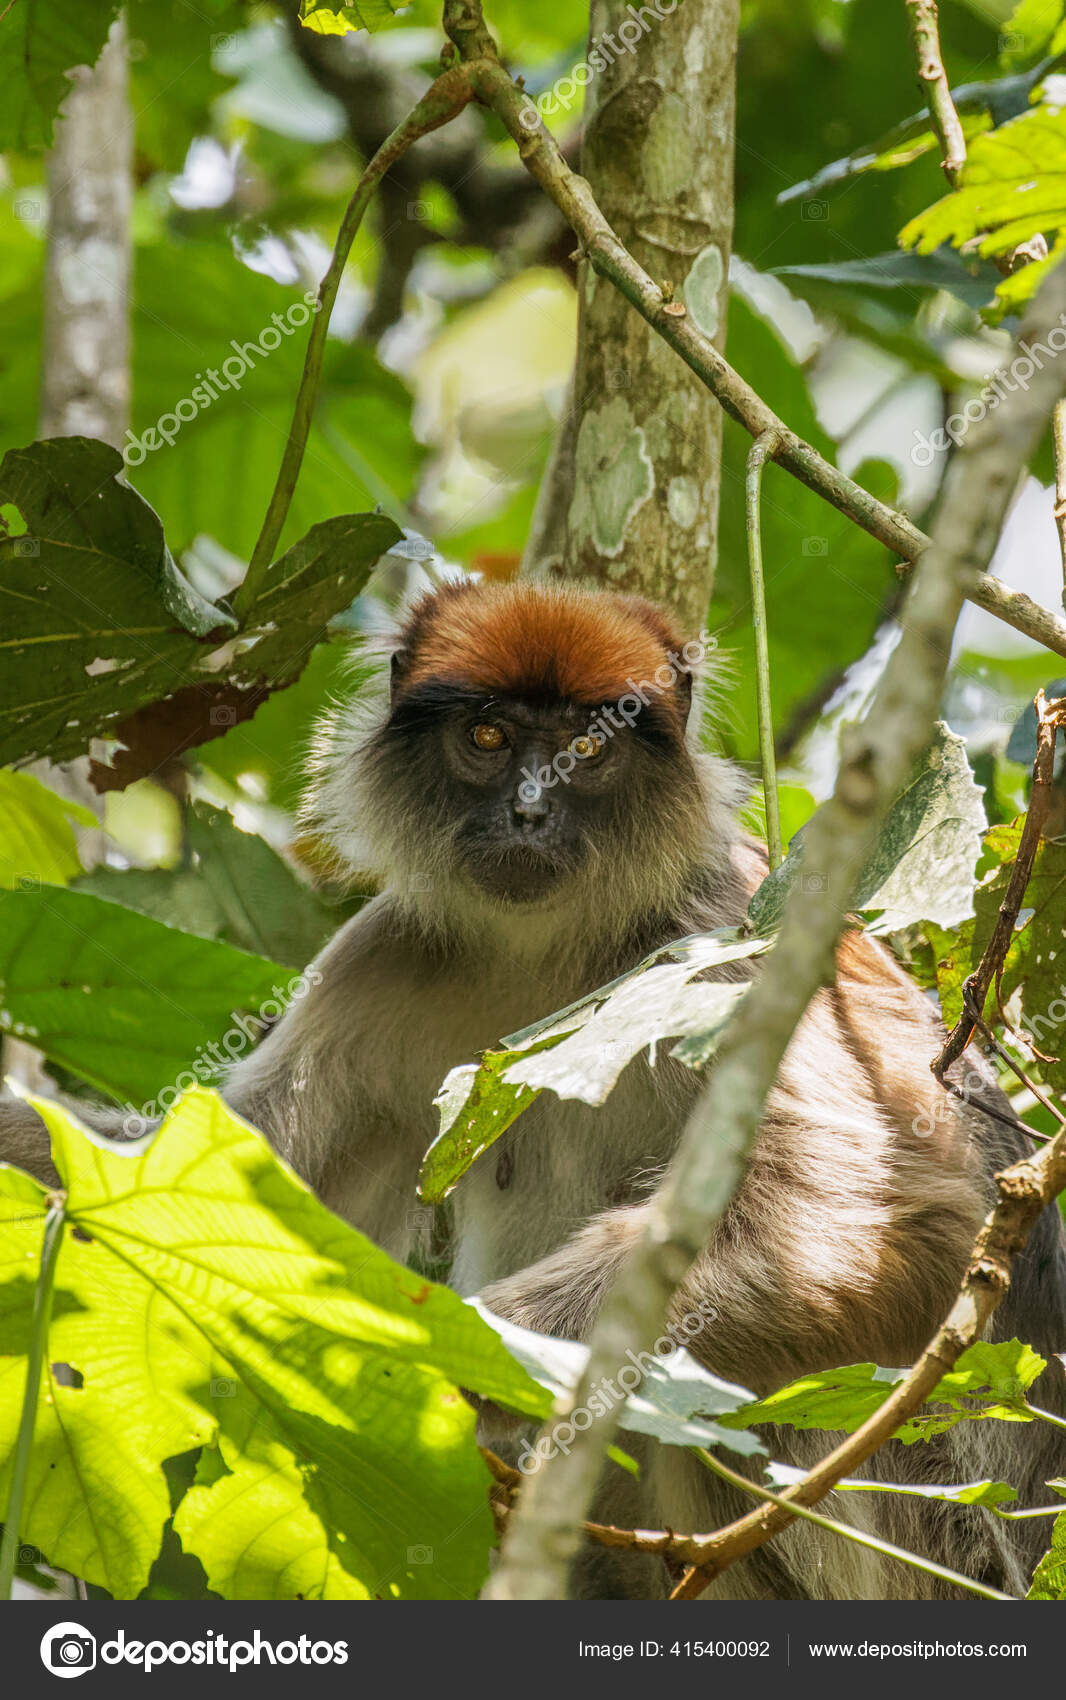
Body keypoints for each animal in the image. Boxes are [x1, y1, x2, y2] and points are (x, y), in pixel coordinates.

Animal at [2, 576, 1064, 1600]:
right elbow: (226, 1183)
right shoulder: (381, 956)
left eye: (588, 749)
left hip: (941, 1524)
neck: (550, 954)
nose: (528, 810)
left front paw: (373, 1348)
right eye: (488, 738)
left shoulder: (736, 939)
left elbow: (899, 1225)